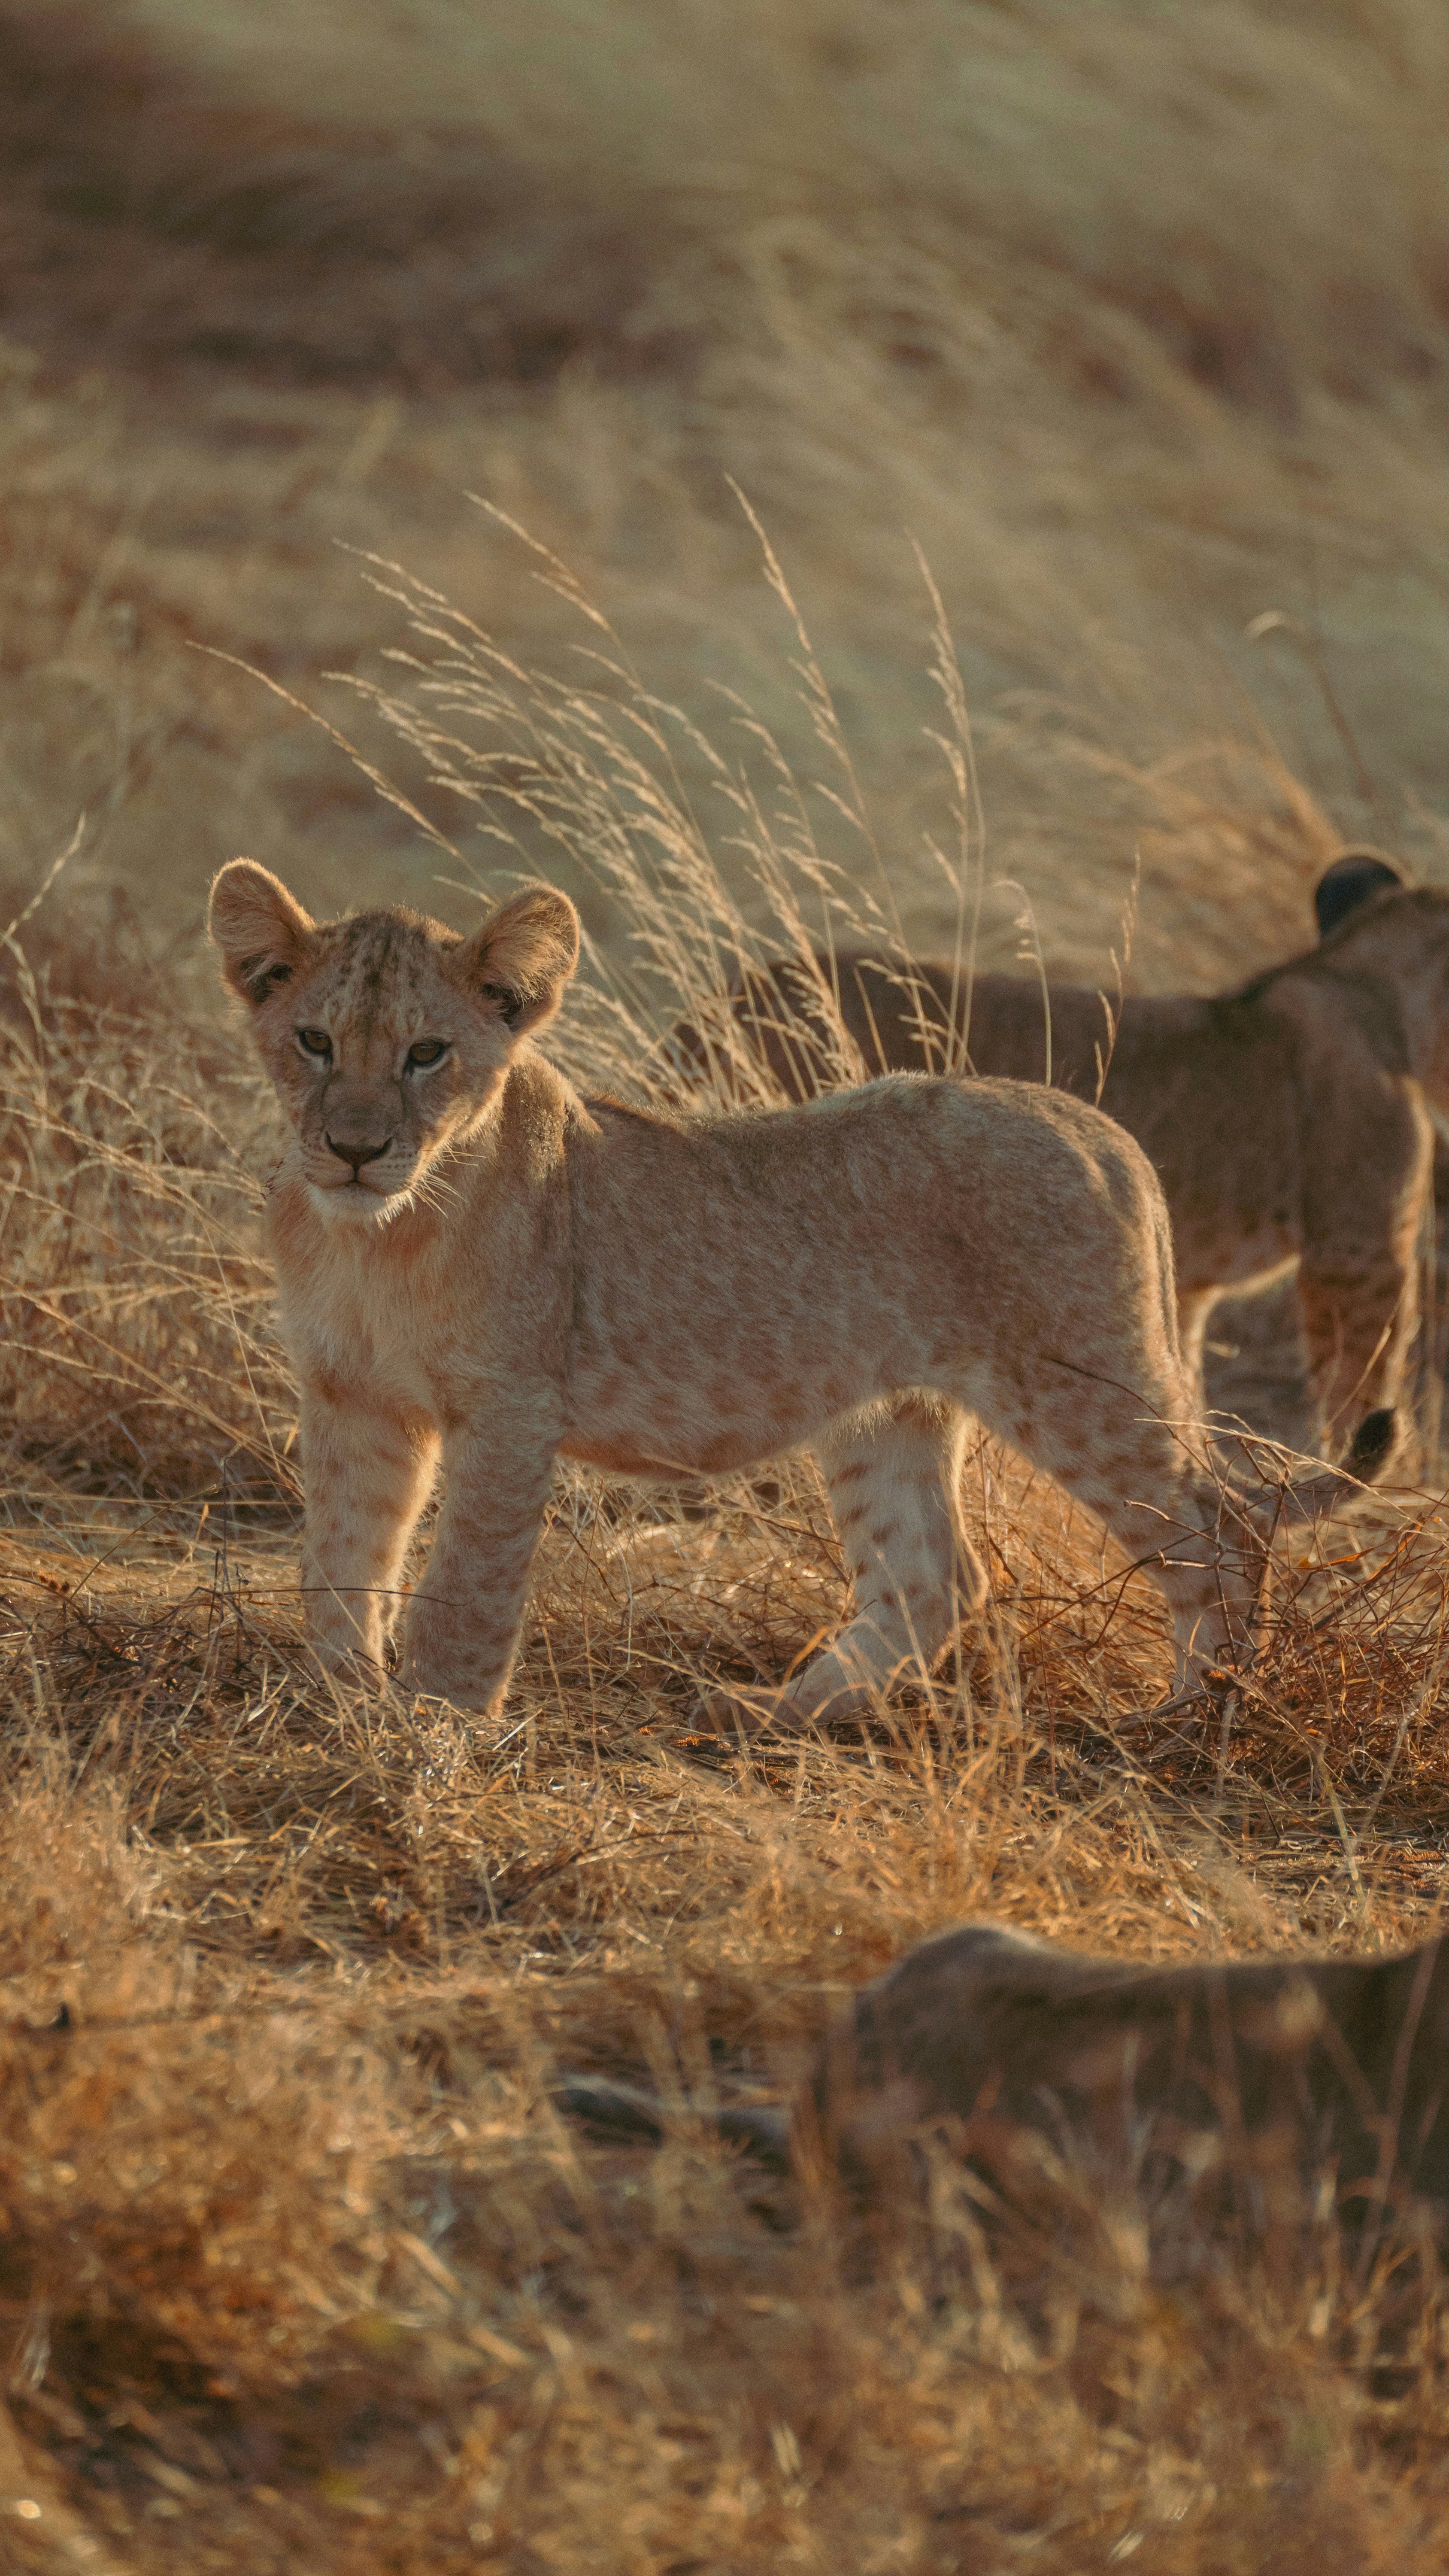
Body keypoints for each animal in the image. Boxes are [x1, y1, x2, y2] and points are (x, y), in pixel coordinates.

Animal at [679, 847, 1434, 1462]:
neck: (1363, 983)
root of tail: (715, 1004)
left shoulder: (1190, 1286)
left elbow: (1181, 1375)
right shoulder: (1359, 1253)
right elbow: (1362, 1381)